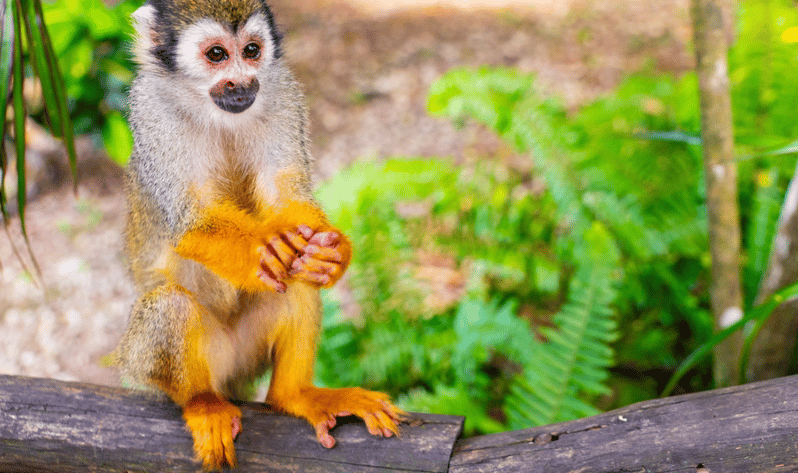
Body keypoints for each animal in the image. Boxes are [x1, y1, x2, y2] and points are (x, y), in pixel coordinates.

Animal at [113, 0, 403, 469]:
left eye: (251, 50)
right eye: (216, 55)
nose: (243, 82)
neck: (209, 108)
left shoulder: (282, 92)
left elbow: (288, 200)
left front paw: (335, 253)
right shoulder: (152, 114)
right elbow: (193, 220)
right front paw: (261, 248)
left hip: (247, 355)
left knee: (298, 277)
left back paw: (294, 395)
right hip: (144, 364)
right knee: (170, 305)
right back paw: (201, 402)